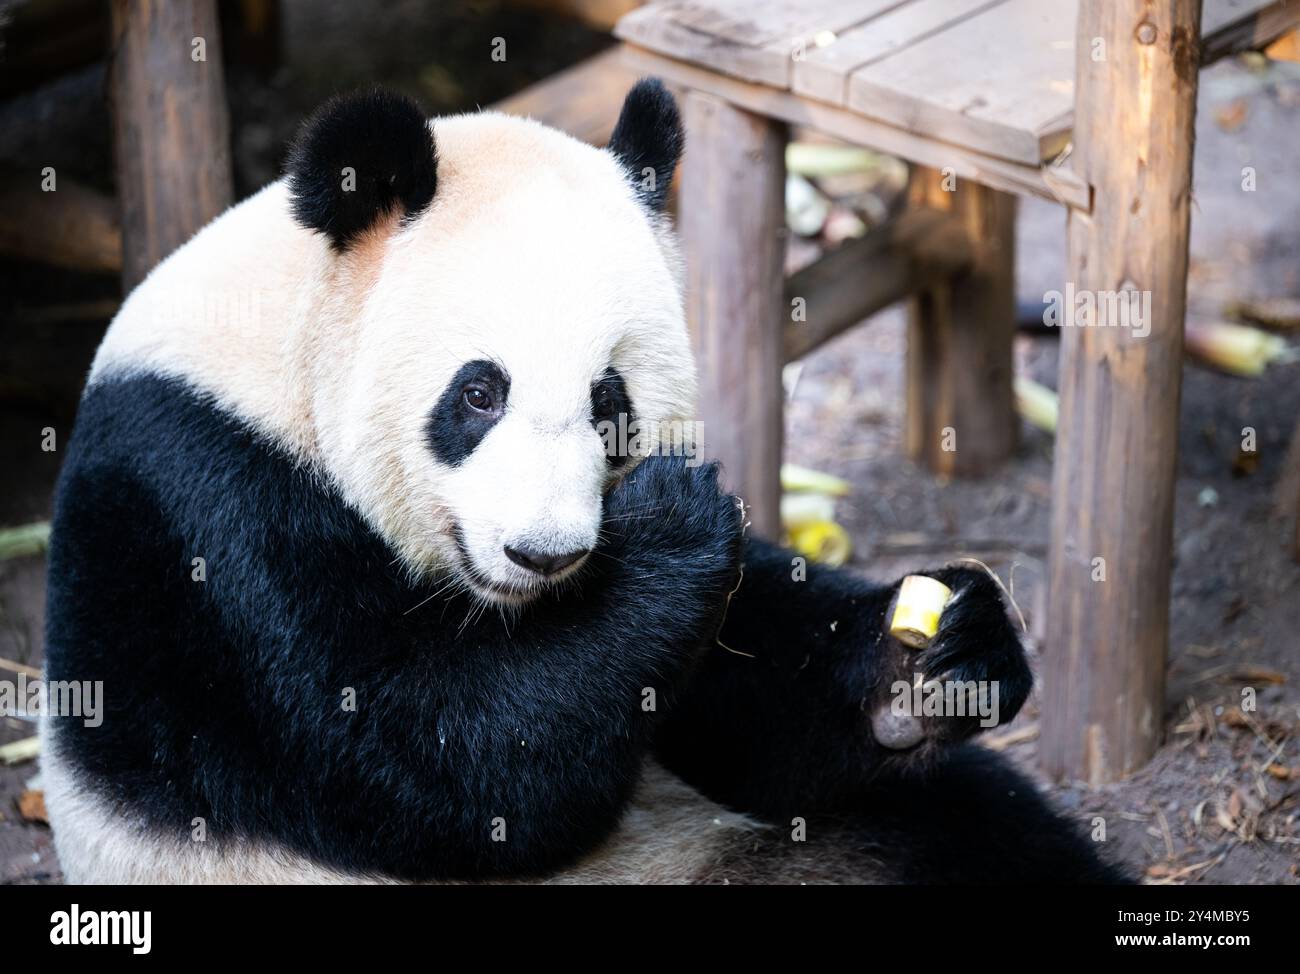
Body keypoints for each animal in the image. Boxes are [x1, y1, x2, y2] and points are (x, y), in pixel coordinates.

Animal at [40, 81, 1126, 884]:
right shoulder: (208, 493)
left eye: (611, 402)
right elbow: (436, 756)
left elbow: (735, 695)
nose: (545, 552)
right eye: (478, 392)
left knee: (969, 826)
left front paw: (940, 653)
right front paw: (676, 530)